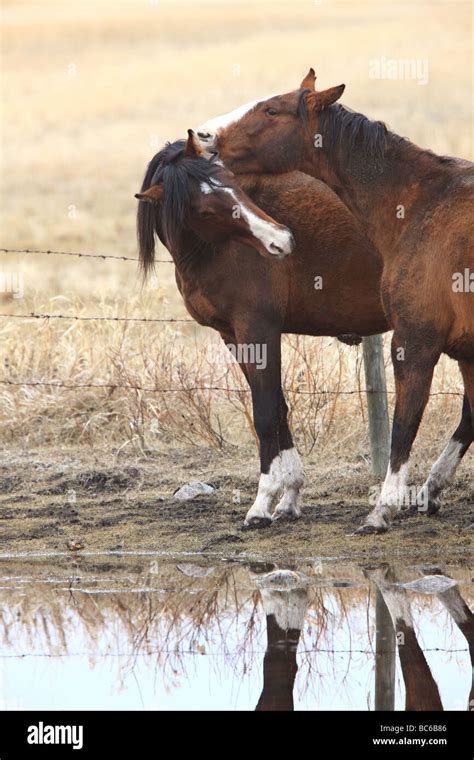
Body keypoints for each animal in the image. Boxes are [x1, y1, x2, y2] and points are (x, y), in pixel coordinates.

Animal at [136, 130, 388, 528]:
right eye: (205, 210)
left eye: (233, 182)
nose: (281, 240)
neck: (215, 250)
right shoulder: (235, 338)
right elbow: (278, 409)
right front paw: (289, 497)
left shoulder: (259, 331)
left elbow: (266, 412)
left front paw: (262, 503)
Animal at [197, 69, 474, 534]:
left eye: (271, 110)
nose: (204, 136)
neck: (421, 204)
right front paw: (426, 492)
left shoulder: (415, 343)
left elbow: (404, 428)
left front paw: (382, 509)